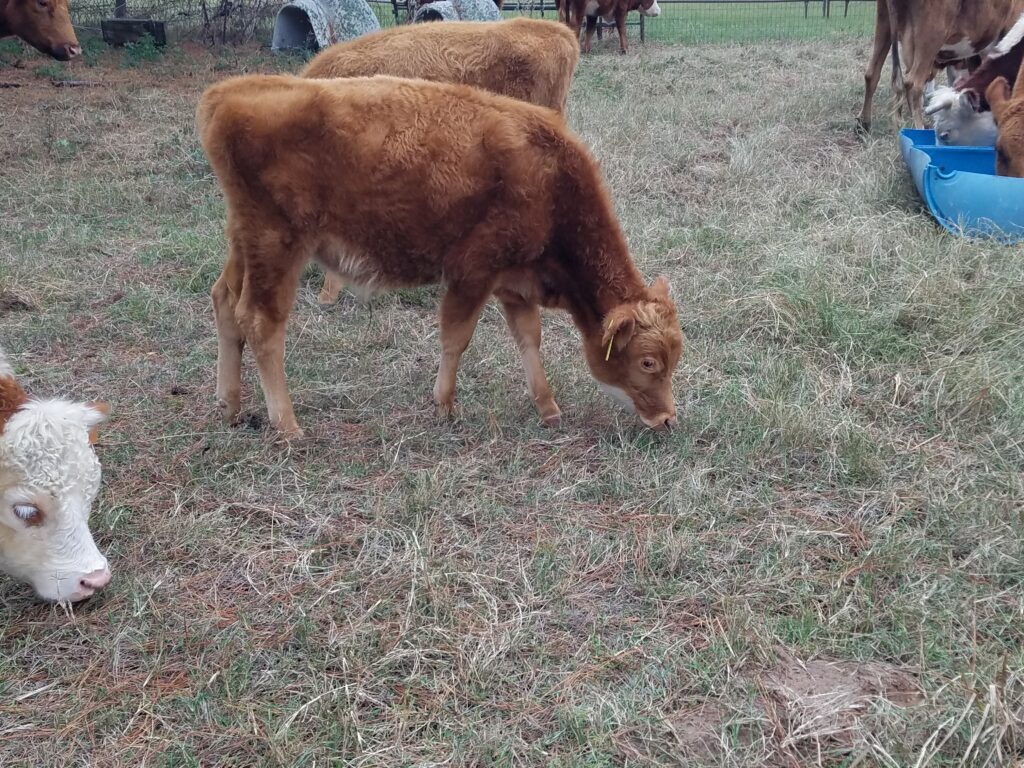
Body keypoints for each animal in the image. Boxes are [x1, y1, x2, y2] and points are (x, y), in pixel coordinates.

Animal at [197, 75, 683, 439]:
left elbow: (529, 338)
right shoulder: (474, 273)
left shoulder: (513, 283)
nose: (666, 419)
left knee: (224, 300)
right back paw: (288, 425)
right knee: (261, 322)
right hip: (278, 246)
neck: (550, 177)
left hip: (243, 241)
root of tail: (226, 94)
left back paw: (229, 405)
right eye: (648, 361)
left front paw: (548, 407)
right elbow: (457, 336)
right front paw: (445, 405)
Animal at [858, 0, 1024, 132]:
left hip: (885, 21)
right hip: (931, 35)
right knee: (913, 83)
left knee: (873, 73)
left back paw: (864, 123)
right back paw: (919, 128)